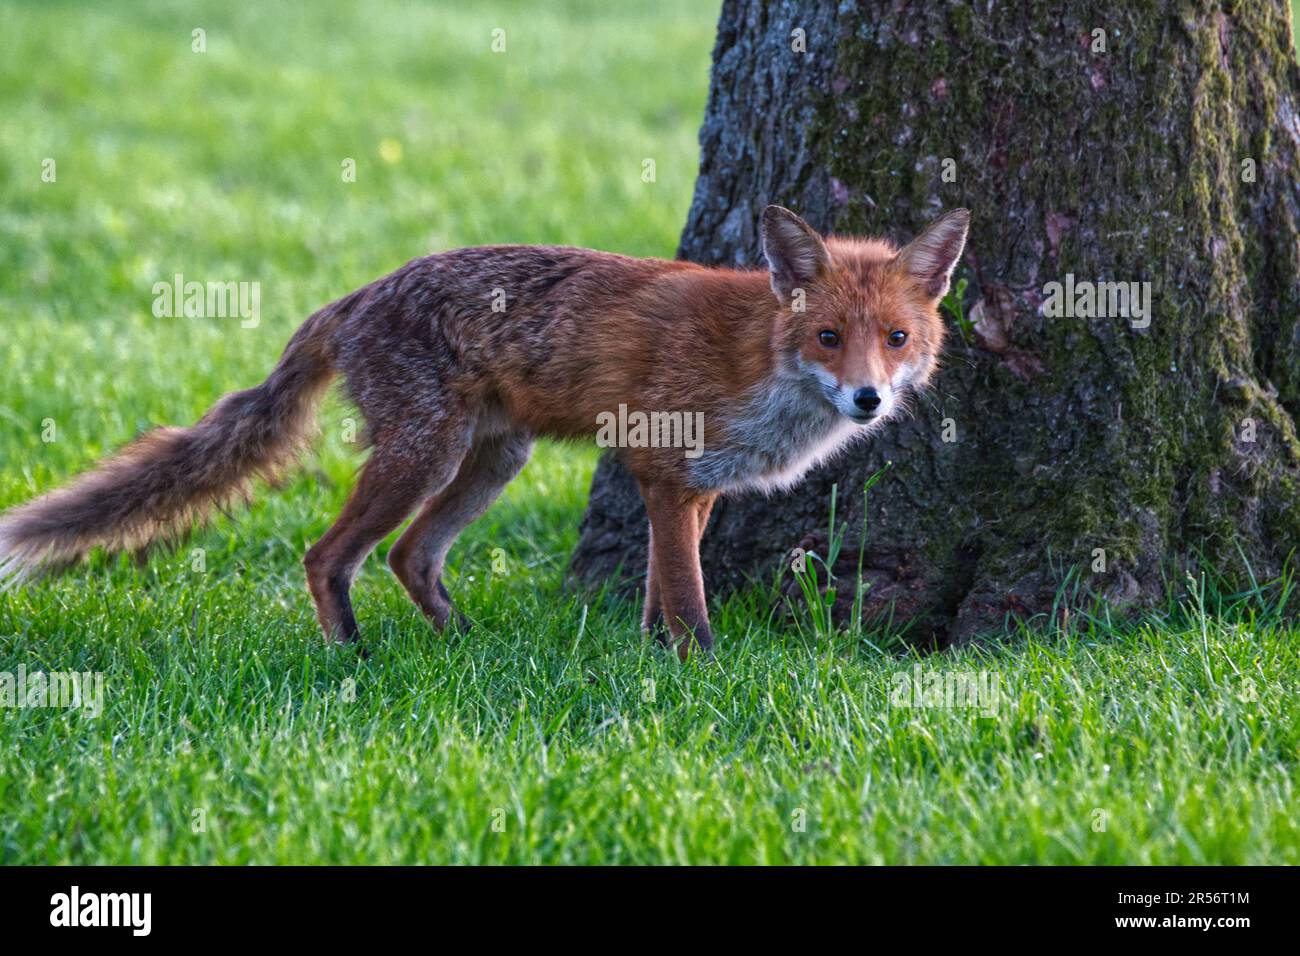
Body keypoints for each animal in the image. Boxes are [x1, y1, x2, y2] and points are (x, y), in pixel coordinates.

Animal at [0, 205, 969, 658]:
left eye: (896, 339)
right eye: (828, 338)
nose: (868, 402)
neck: (757, 363)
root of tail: (356, 296)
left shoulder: (693, 490)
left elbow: (661, 594)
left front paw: (652, 665)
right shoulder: (662, 471)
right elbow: (687, 602)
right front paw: (699, 676)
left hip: (491, 462)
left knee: (409, 556)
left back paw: (460, 643)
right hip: (422, 456)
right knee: (329, 555)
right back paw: (351, 657)